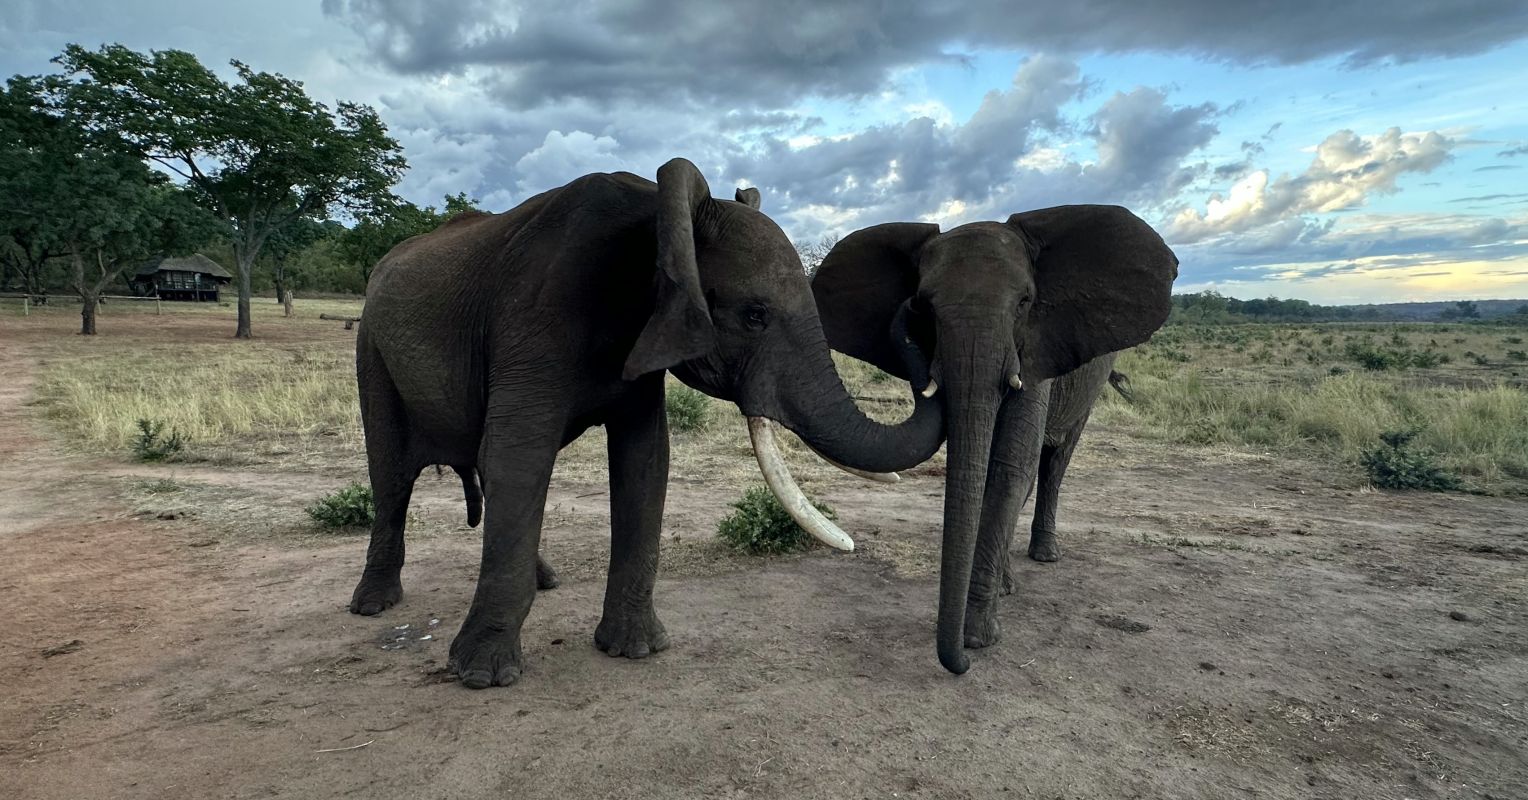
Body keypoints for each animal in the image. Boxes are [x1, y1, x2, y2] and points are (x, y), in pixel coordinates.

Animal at [350, 158, 944, 689]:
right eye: (754, 316)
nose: (915, 308)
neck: (656, 218)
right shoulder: (533, 320)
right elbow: (518, 459)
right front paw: (480, 677)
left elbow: (645, 461)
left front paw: (636, 650)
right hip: (371, 347)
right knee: (392, 474)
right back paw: (373, 605)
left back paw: (546, 580)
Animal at [809, 206, 1177, 675]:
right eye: (924, 306)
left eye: (1024, 303)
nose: (961, 663)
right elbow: (980, 470)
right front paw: (985, 615)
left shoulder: (1037, 348)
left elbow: (1008, 468)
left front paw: (977, 638)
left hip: (1089, 387)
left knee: (1055, 462)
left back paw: (1045, 555)